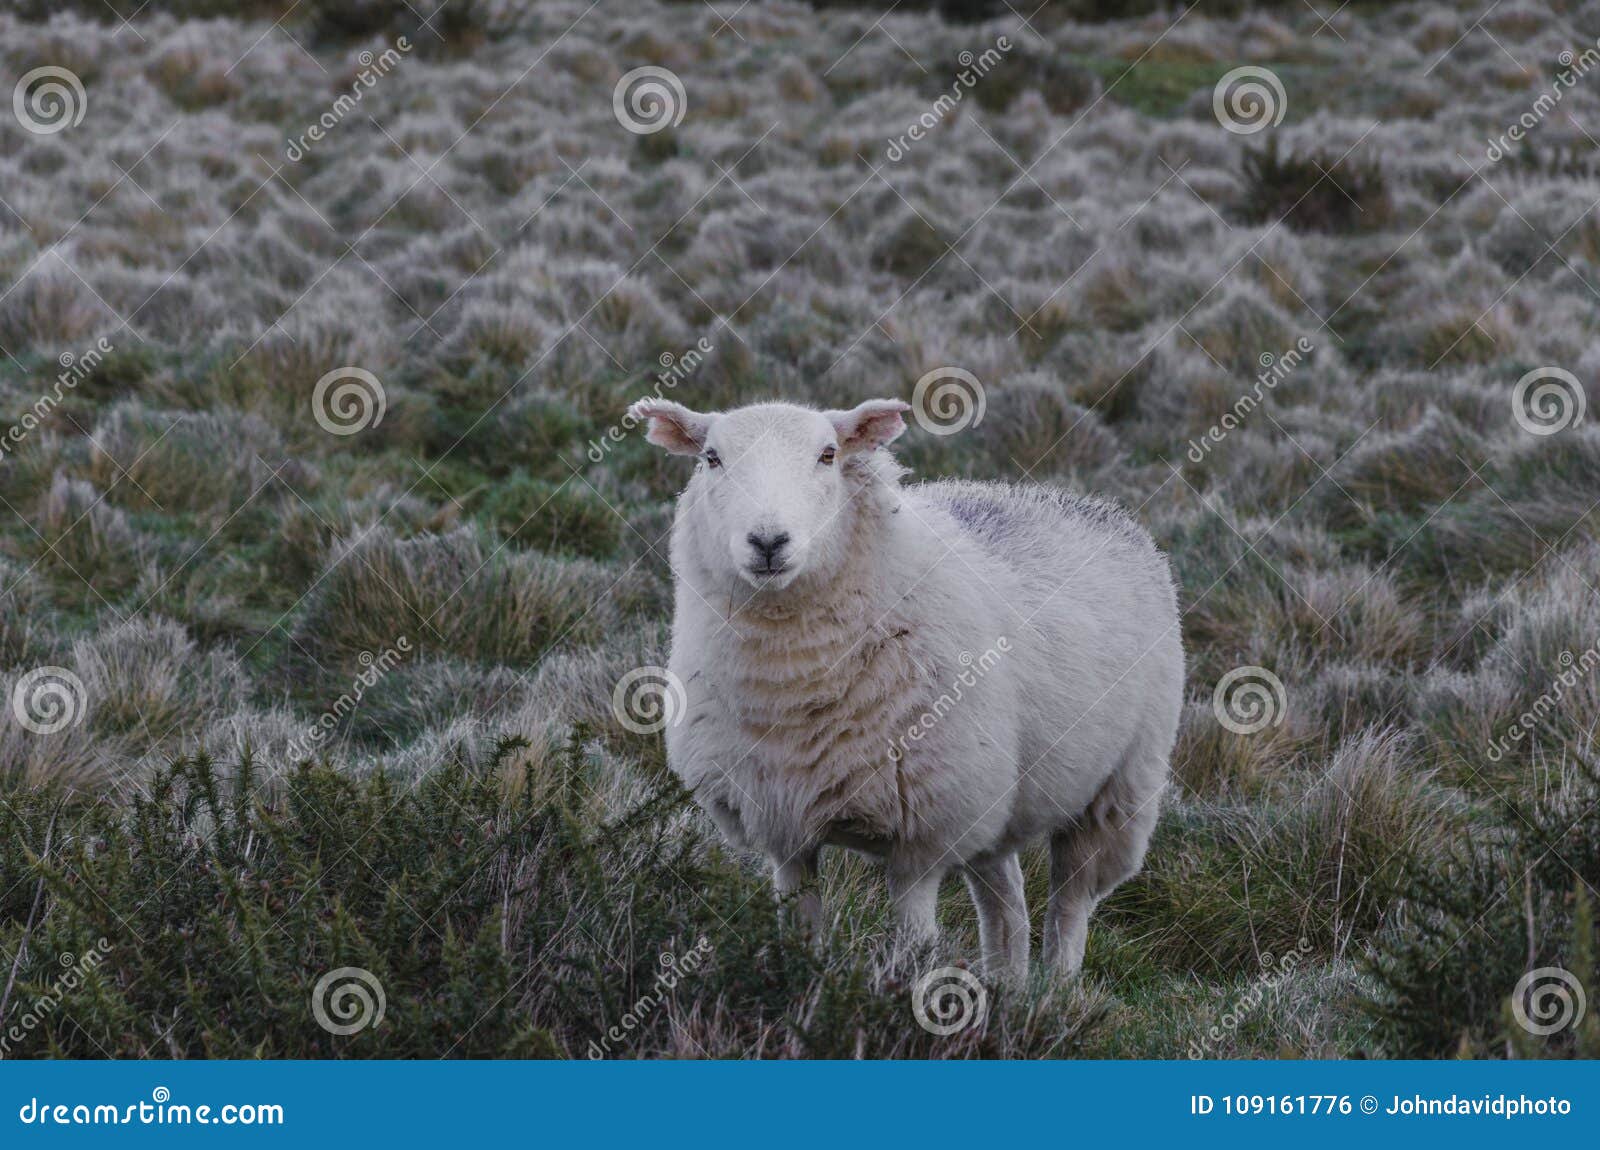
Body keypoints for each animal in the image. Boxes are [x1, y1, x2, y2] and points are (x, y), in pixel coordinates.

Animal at [628, 396, 1184, 982]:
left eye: (828, 454)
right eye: (711, 458)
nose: (768, 542)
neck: (792, 687)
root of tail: (1098, 510)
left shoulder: (922, 837)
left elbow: (915, 943)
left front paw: (909, 990)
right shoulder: (785, 830)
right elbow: (800, 928)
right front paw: (801, 976)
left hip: (1120, 787)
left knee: (1071, 902)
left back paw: (1056, 988)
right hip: (999, 798)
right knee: (1004, 900)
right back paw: (1009, 986)